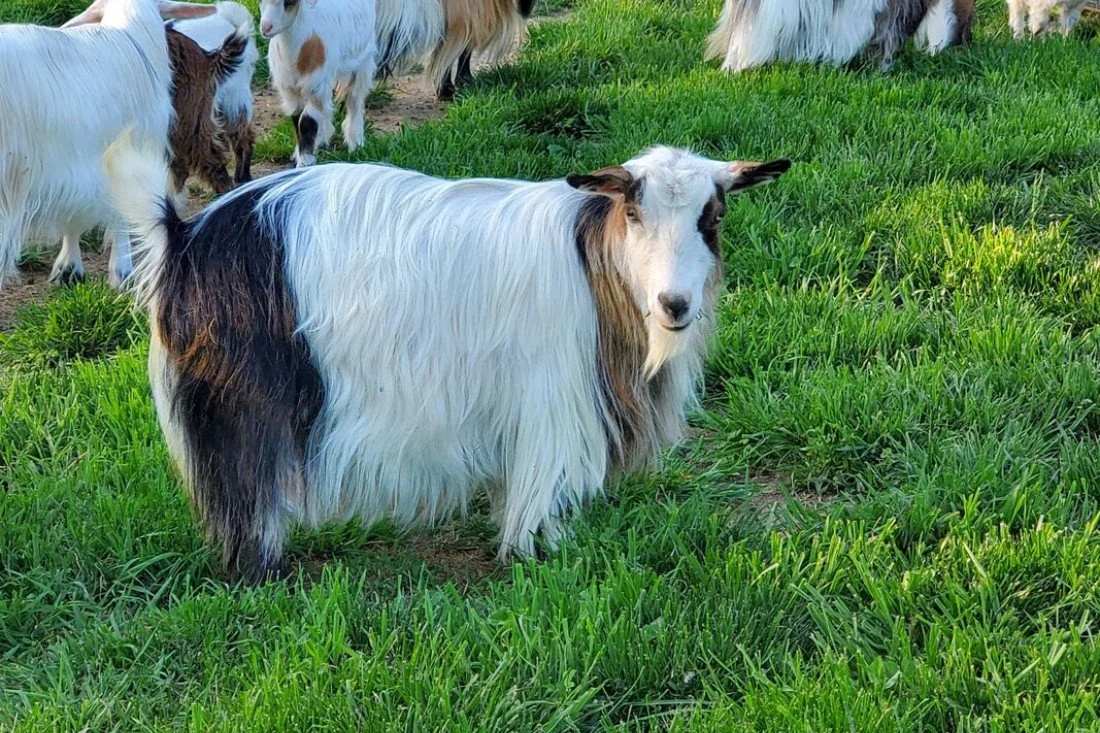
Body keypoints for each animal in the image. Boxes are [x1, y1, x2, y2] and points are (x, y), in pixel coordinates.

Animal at [0, 0, 215, 289]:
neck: (130, 36)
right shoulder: (127, 150)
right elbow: (121, 212)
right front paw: (122, 271)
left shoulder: (76, 165)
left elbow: (73, 214)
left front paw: (68, 269)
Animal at [105, 130, 790, 580]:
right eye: (633, 210)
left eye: (712, 216)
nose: (675, 303)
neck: (591, 261)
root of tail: (181, 237)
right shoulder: (551, 403)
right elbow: (539, 493)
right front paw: (540, 555)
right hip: (237, 401)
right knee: (244, 489)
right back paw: (263, 572)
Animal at [260, 0, 378, 167]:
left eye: (290, 2)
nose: (266, 28)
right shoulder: (290, 90)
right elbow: (297, 120)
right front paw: (301, 155)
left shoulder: (316, 86)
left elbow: (306, 122)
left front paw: (304, 163)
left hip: (363, 60)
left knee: (355, 99)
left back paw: (356, 143)